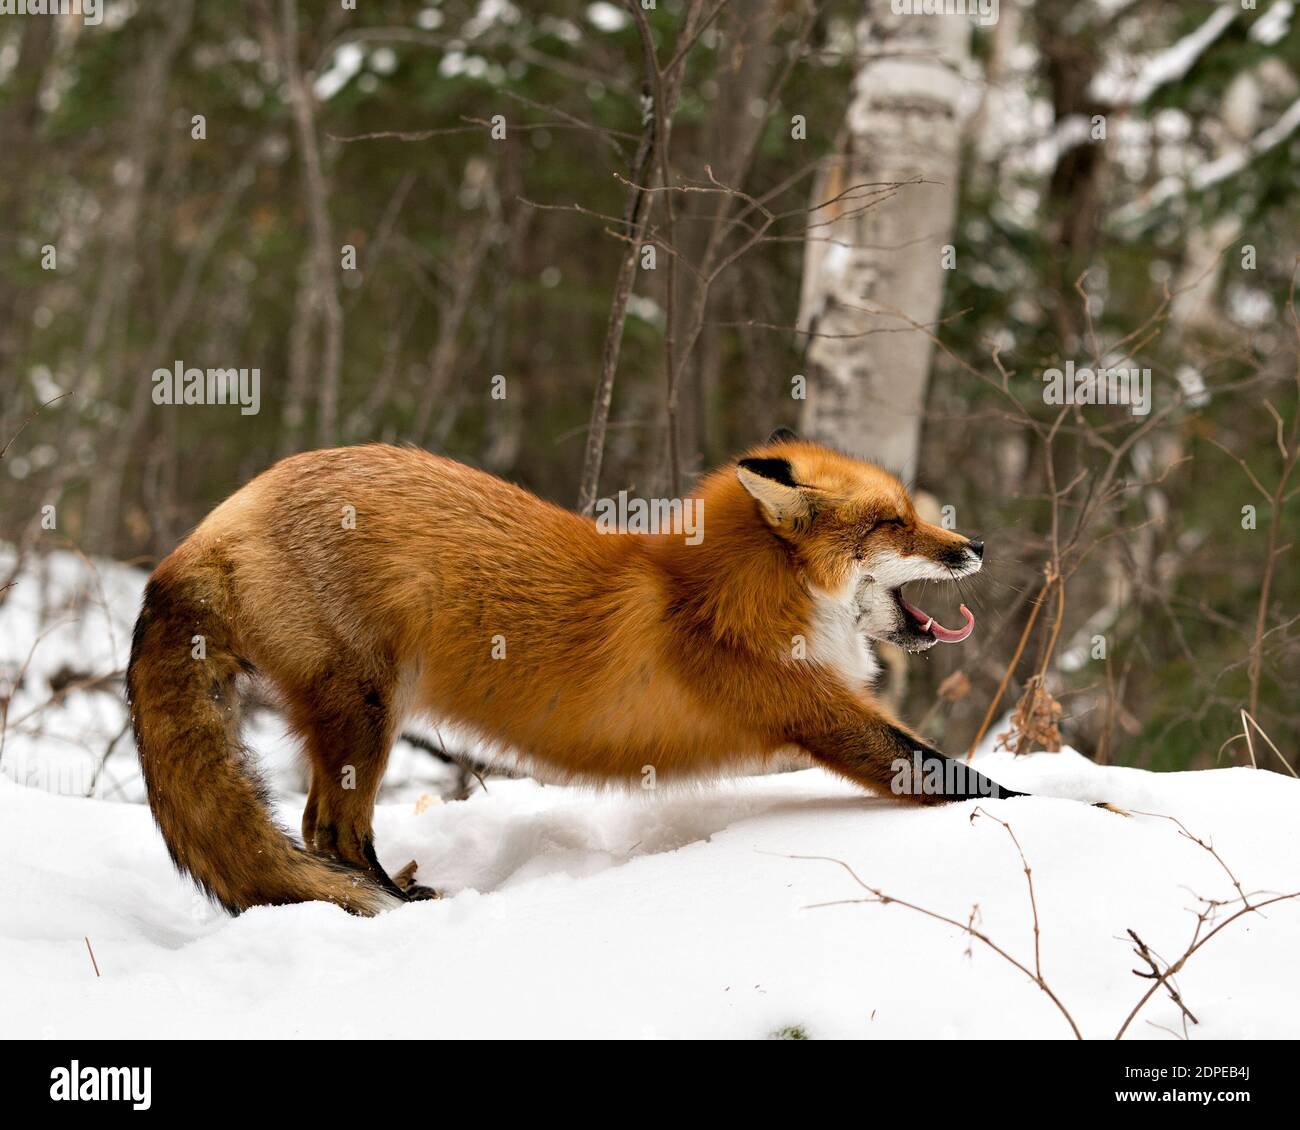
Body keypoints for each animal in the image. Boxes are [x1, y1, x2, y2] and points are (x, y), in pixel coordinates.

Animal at [127, 428, 1028, 916]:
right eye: (893, 523)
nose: (978, 546)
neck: (722, 595)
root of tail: (215, 521)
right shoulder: (816, 712)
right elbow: (955, 777)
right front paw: (1047, 814)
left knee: (324, 831)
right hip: (367, 712)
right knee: (331, 833)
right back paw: (403, 906)